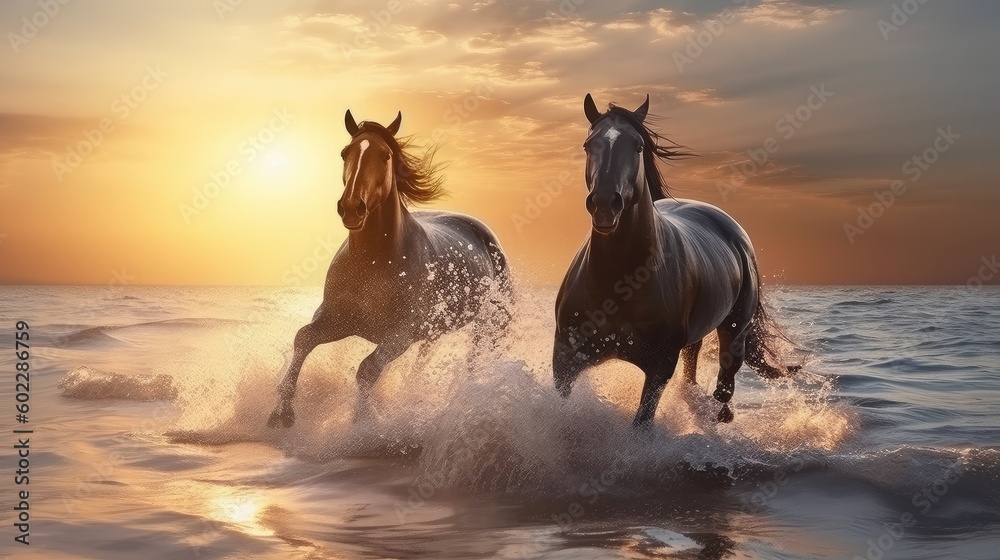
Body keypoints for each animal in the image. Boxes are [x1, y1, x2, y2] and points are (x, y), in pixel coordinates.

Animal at [268, 110, 511, 428]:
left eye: (385, 155)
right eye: (345, 152)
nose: (352, 207)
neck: (372, 264)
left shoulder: (400, 334)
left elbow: (367, 369)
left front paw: (364, 422)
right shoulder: (336, 319)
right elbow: (303, 339)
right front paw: (282, 411)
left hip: (489, 323)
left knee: (476, 359)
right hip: (434, 333)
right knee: (423, 360)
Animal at [552, 93, 798, 428]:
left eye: (637, 146)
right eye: (588, 145)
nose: (604, 204)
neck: (620, 282)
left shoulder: (659, 368)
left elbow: (642, 424)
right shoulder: (565, 359)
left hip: (734, 331)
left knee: (724, 386)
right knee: (693, 366)